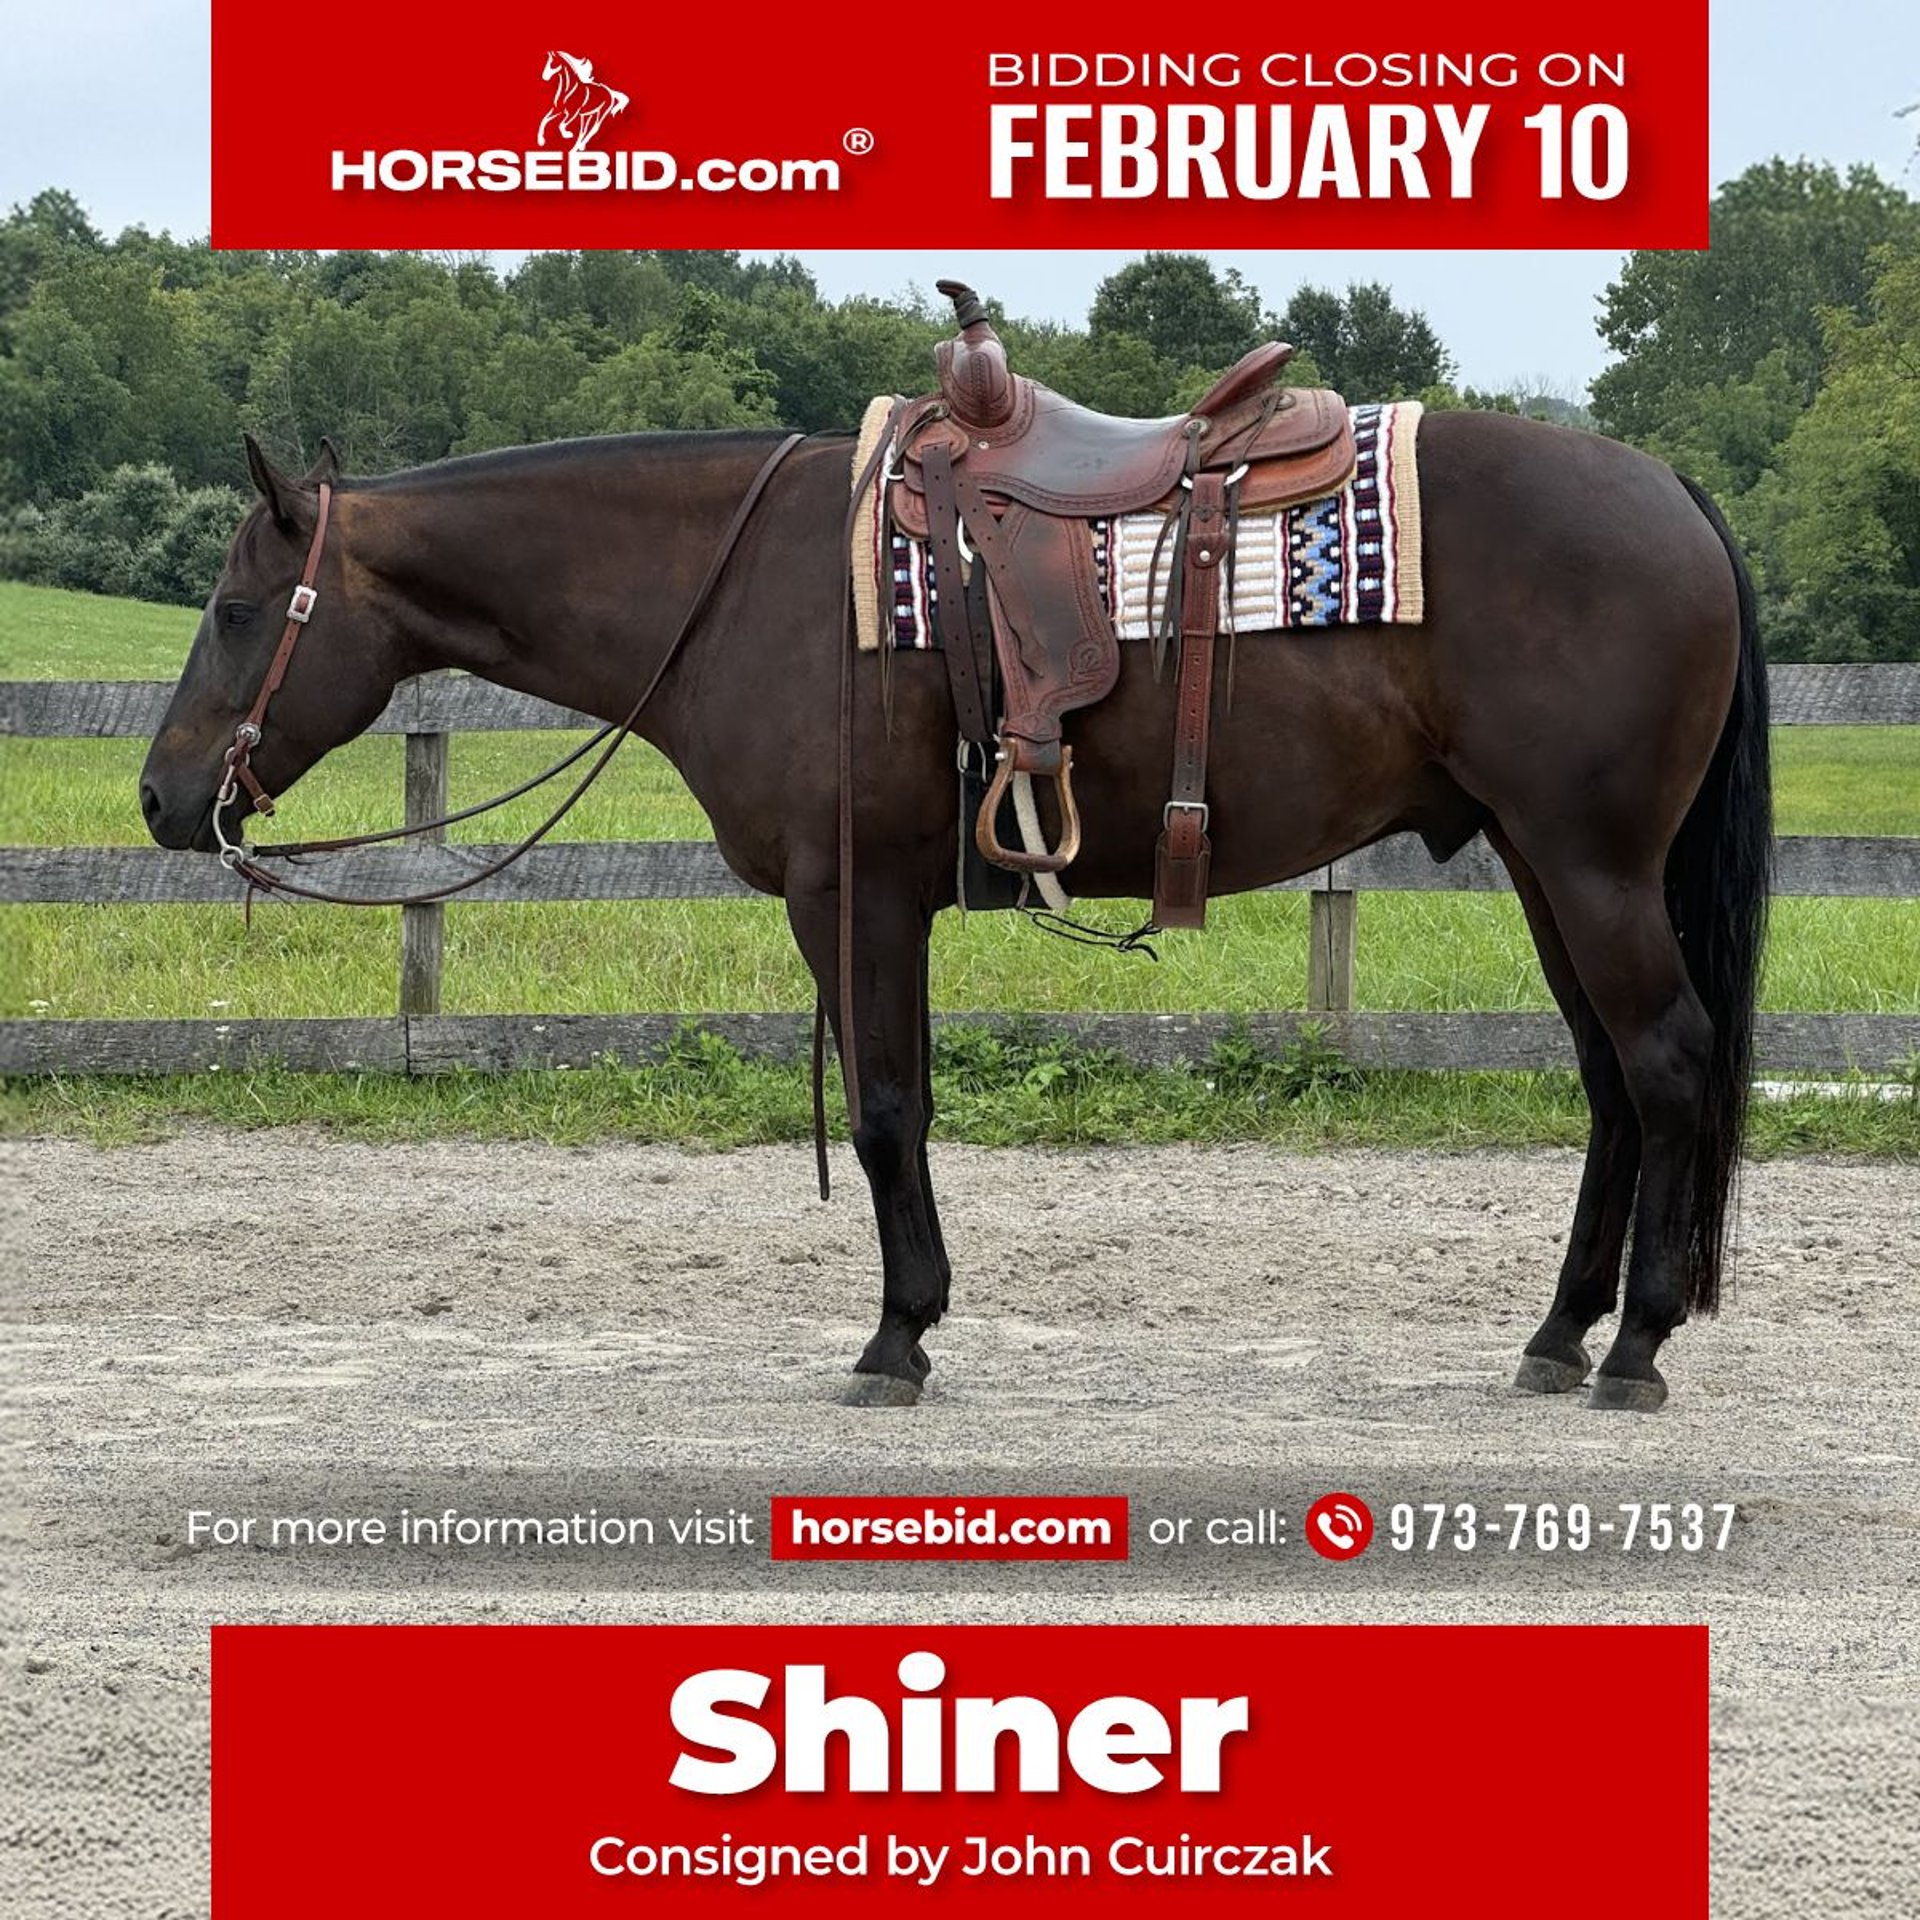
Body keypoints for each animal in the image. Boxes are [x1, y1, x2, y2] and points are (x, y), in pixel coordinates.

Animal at [139, 412, 1770, 1415]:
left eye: (234, 609)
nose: (161, 800)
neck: (745, 590)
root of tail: (1674, 493)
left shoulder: (849, 897)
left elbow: (882, 1114)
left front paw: (894, 1338)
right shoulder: (889, 903)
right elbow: (904, 1106)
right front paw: (913, 1322)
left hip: (1591, 863)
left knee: (1669, 1064)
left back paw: (1635, 1345)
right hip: (1545, 865)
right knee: (1611, 1083)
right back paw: (1559, 1335)